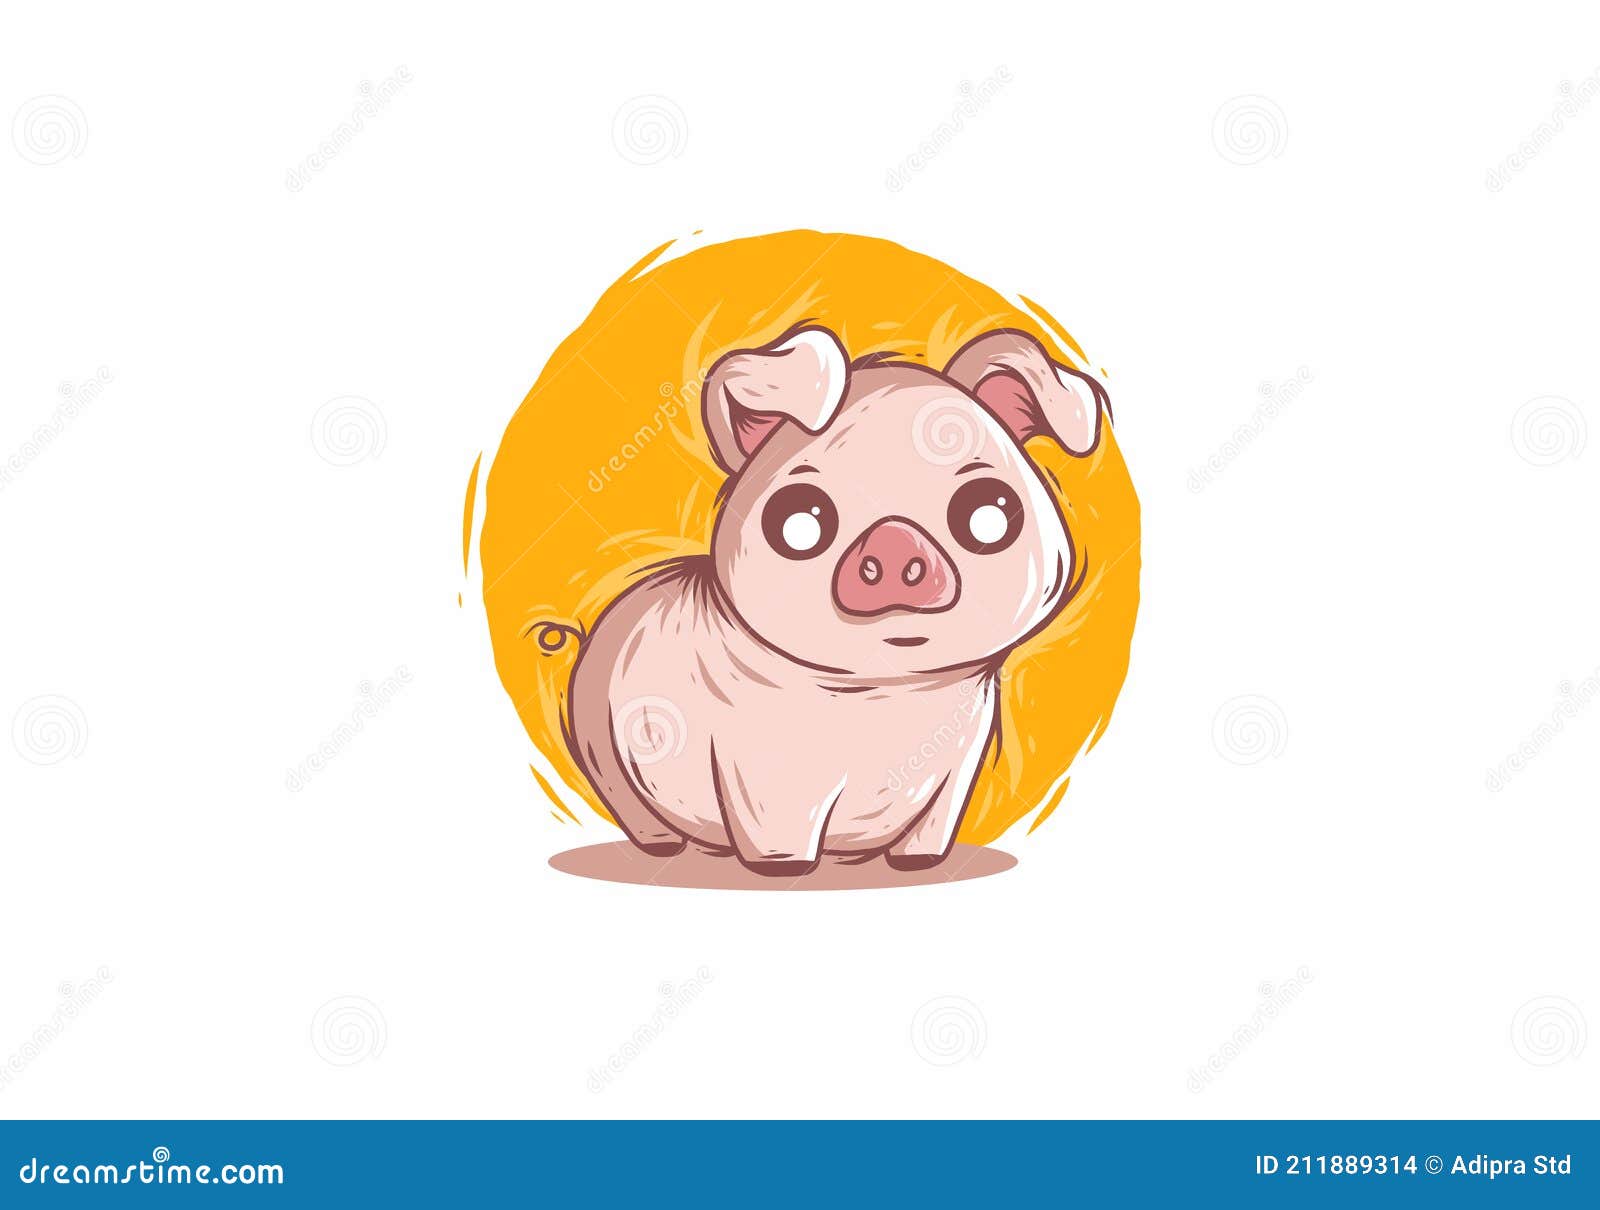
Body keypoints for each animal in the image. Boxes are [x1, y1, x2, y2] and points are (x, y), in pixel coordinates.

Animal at [564, 324, 1109, 874]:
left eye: (991, 514)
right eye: (799, 521)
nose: (895, 547)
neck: (887, 699)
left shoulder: (961, 761)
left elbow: (933, 825)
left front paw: (918, 864)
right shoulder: (761, 772)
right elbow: (779, 828)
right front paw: (784, 870)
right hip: (594, 734)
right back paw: (664, 847)